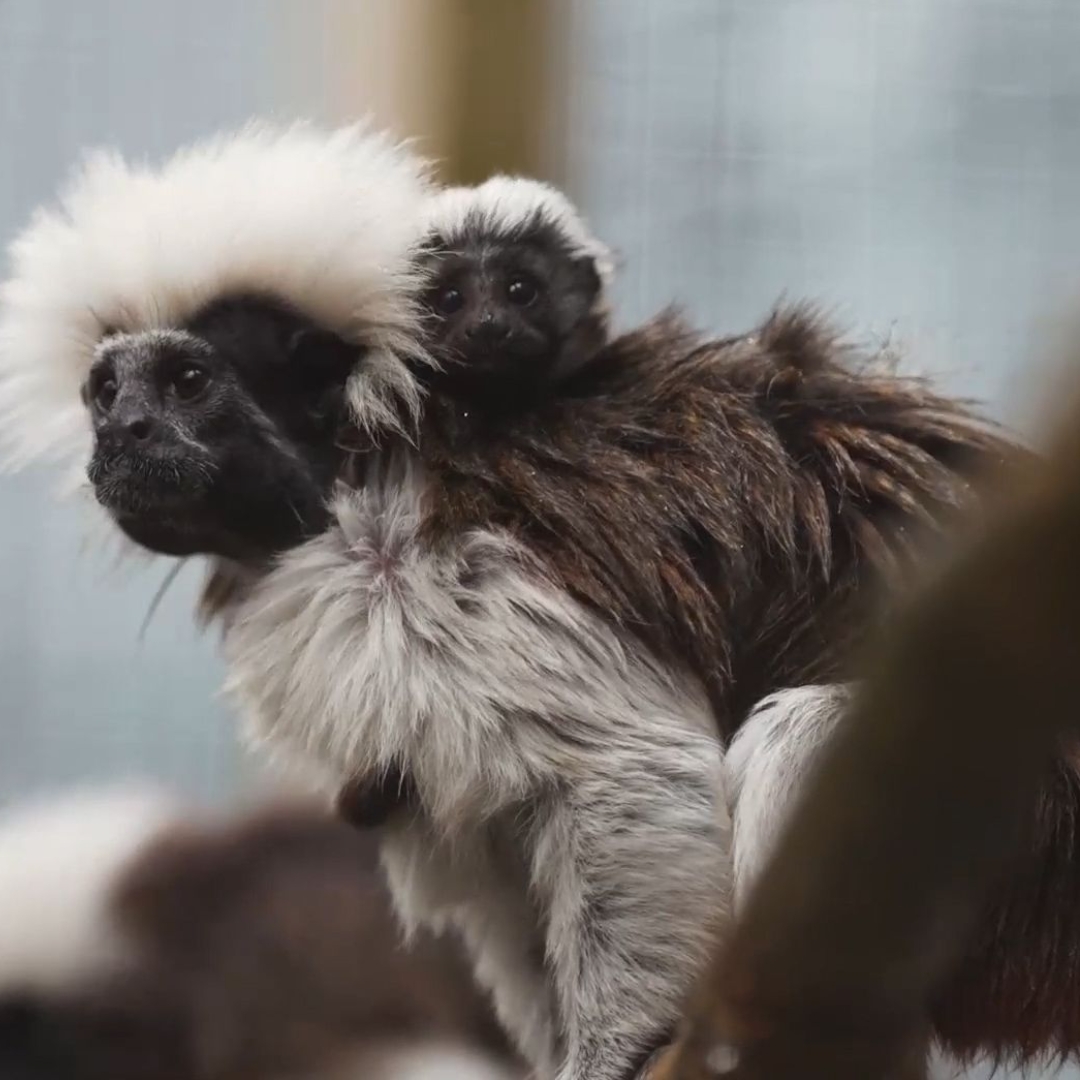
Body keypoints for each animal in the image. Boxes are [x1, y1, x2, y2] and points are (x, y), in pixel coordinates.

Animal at [0, 124, 1067, 1080]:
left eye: (186, 382)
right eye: (105, 392)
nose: (126, 433)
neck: (352, 472)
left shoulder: (443, 568)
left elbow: (627, 769)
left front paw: (615, 1051)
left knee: (806, 733)